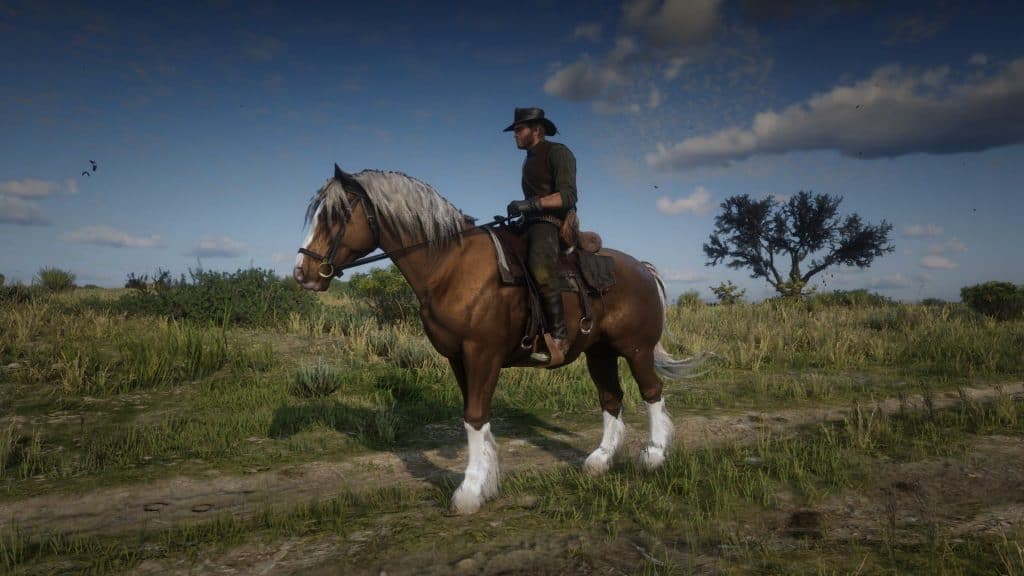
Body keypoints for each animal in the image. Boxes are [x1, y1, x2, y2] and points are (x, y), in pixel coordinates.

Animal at [294, 164, 707, 514]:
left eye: (335, 215)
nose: (302, 273)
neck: (450, 267)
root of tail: (643, 268)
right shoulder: (459, 358)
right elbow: (477, 419)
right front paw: (487, 482)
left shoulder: (482, 353)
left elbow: (475, 417)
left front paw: (470, 491)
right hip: (600, 353)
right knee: (611, 398)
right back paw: (601, 460)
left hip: (636, 350)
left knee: (652, 393)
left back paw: (654, 456)